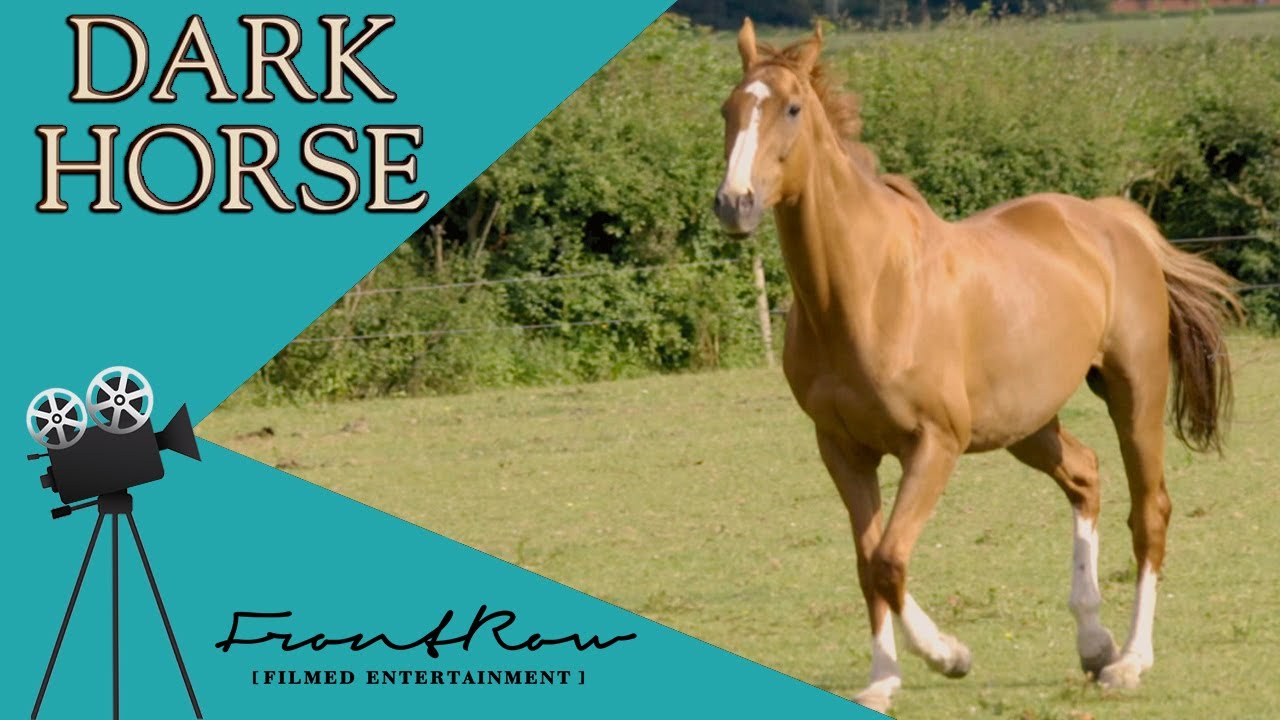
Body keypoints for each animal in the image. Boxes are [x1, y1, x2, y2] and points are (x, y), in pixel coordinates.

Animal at [713, 19, 1242, 713]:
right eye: (728, 110)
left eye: (793, 109)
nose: (735, 204)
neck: (866, 291)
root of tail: (1112, 220)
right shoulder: (842, 448)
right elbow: (866, 563)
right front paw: (882, 681)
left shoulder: (934, 443)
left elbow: (889, 559)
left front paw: (948, 655)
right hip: (1027, 424)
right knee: (1084, 476)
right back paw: (1094, 643)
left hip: (1136, 393)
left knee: (1148, 511)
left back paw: (1130, 661)